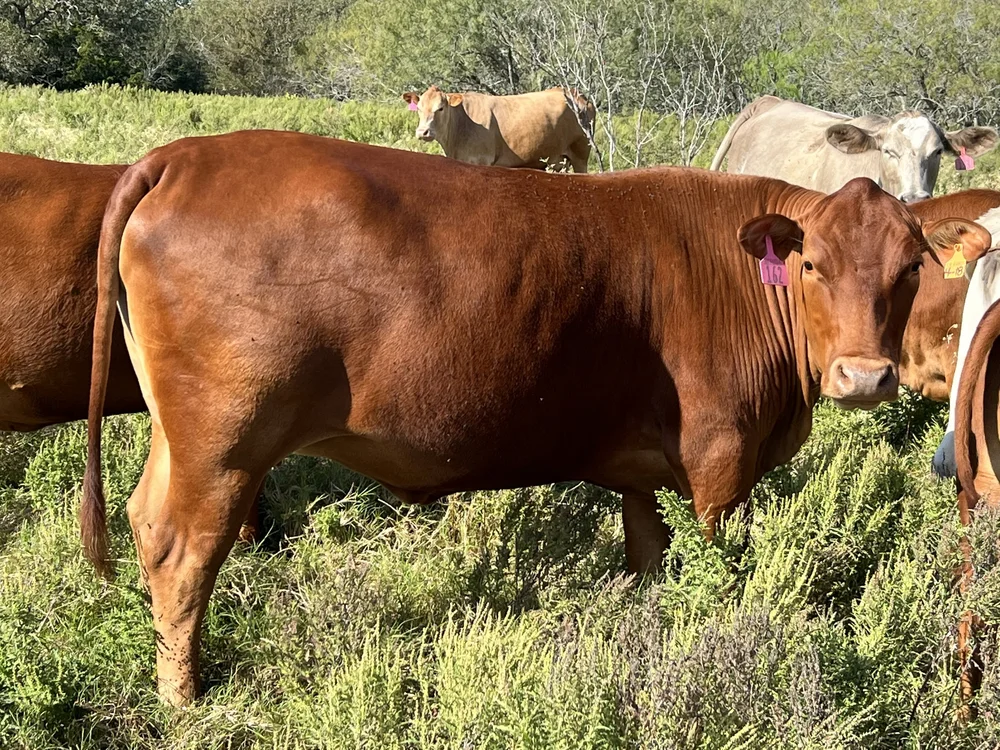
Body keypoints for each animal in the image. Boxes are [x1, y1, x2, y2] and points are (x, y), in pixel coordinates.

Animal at [80, 131, 987, 705]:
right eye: (812, 264)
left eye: (910, 268)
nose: (865, 376)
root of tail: (182, 155)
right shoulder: (721, 465)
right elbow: (722, 579)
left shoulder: (646, 476)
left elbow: (651, 567)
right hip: (225, 444)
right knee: (184, 549)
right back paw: (186, 698)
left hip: (183, 439)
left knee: (145, 519)